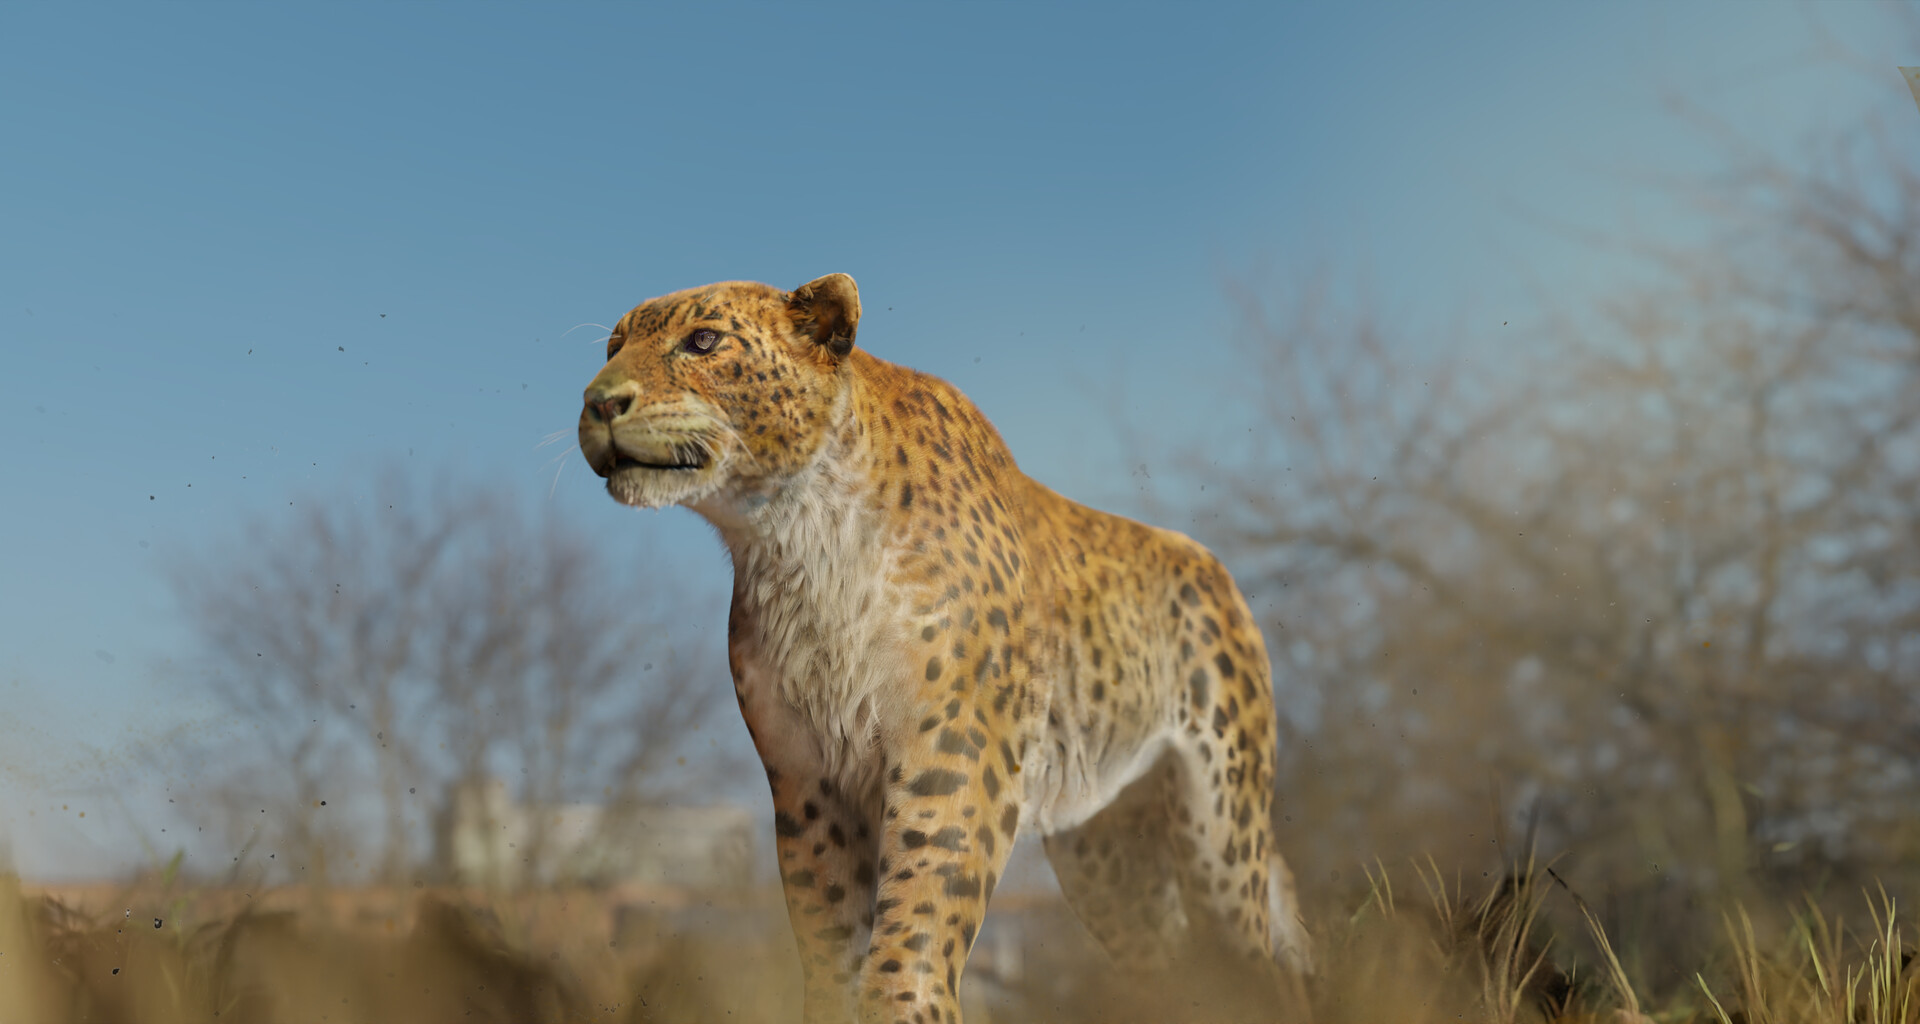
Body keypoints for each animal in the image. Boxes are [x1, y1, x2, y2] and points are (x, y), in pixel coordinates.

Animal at [577, 274, 1312, 1023]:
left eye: (703, 341)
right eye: (612, 348)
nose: (598, 402)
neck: (796, 537)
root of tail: (1218, 572)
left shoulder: (957, 743)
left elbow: (923, 902)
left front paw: (910, 1003)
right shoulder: (807, 775)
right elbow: (830, 929)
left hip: (1220, 827)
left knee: (1257, 967)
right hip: (1109, 853)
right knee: (1172, 970)